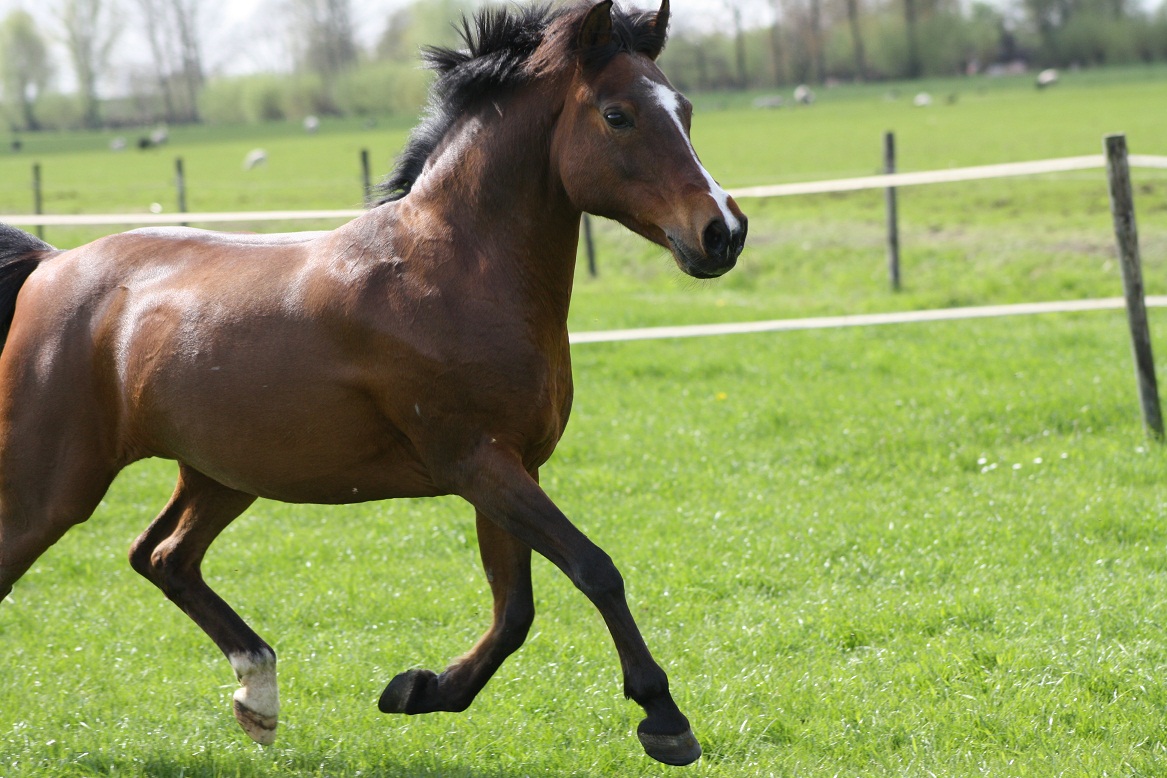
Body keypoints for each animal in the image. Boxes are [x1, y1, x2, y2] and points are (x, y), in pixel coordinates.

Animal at [0, 0, 746, 766]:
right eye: (617, 115)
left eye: (684, 109)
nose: (723, 232)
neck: (455, 272)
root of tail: (50, 264)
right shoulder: (476, 462)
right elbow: (593, 568)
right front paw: (664, 718)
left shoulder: (510, 467)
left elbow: (514, 610)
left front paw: (419, 690)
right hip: (51, 490)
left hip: (222, 474)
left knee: (163, 556)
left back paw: (258, 697)